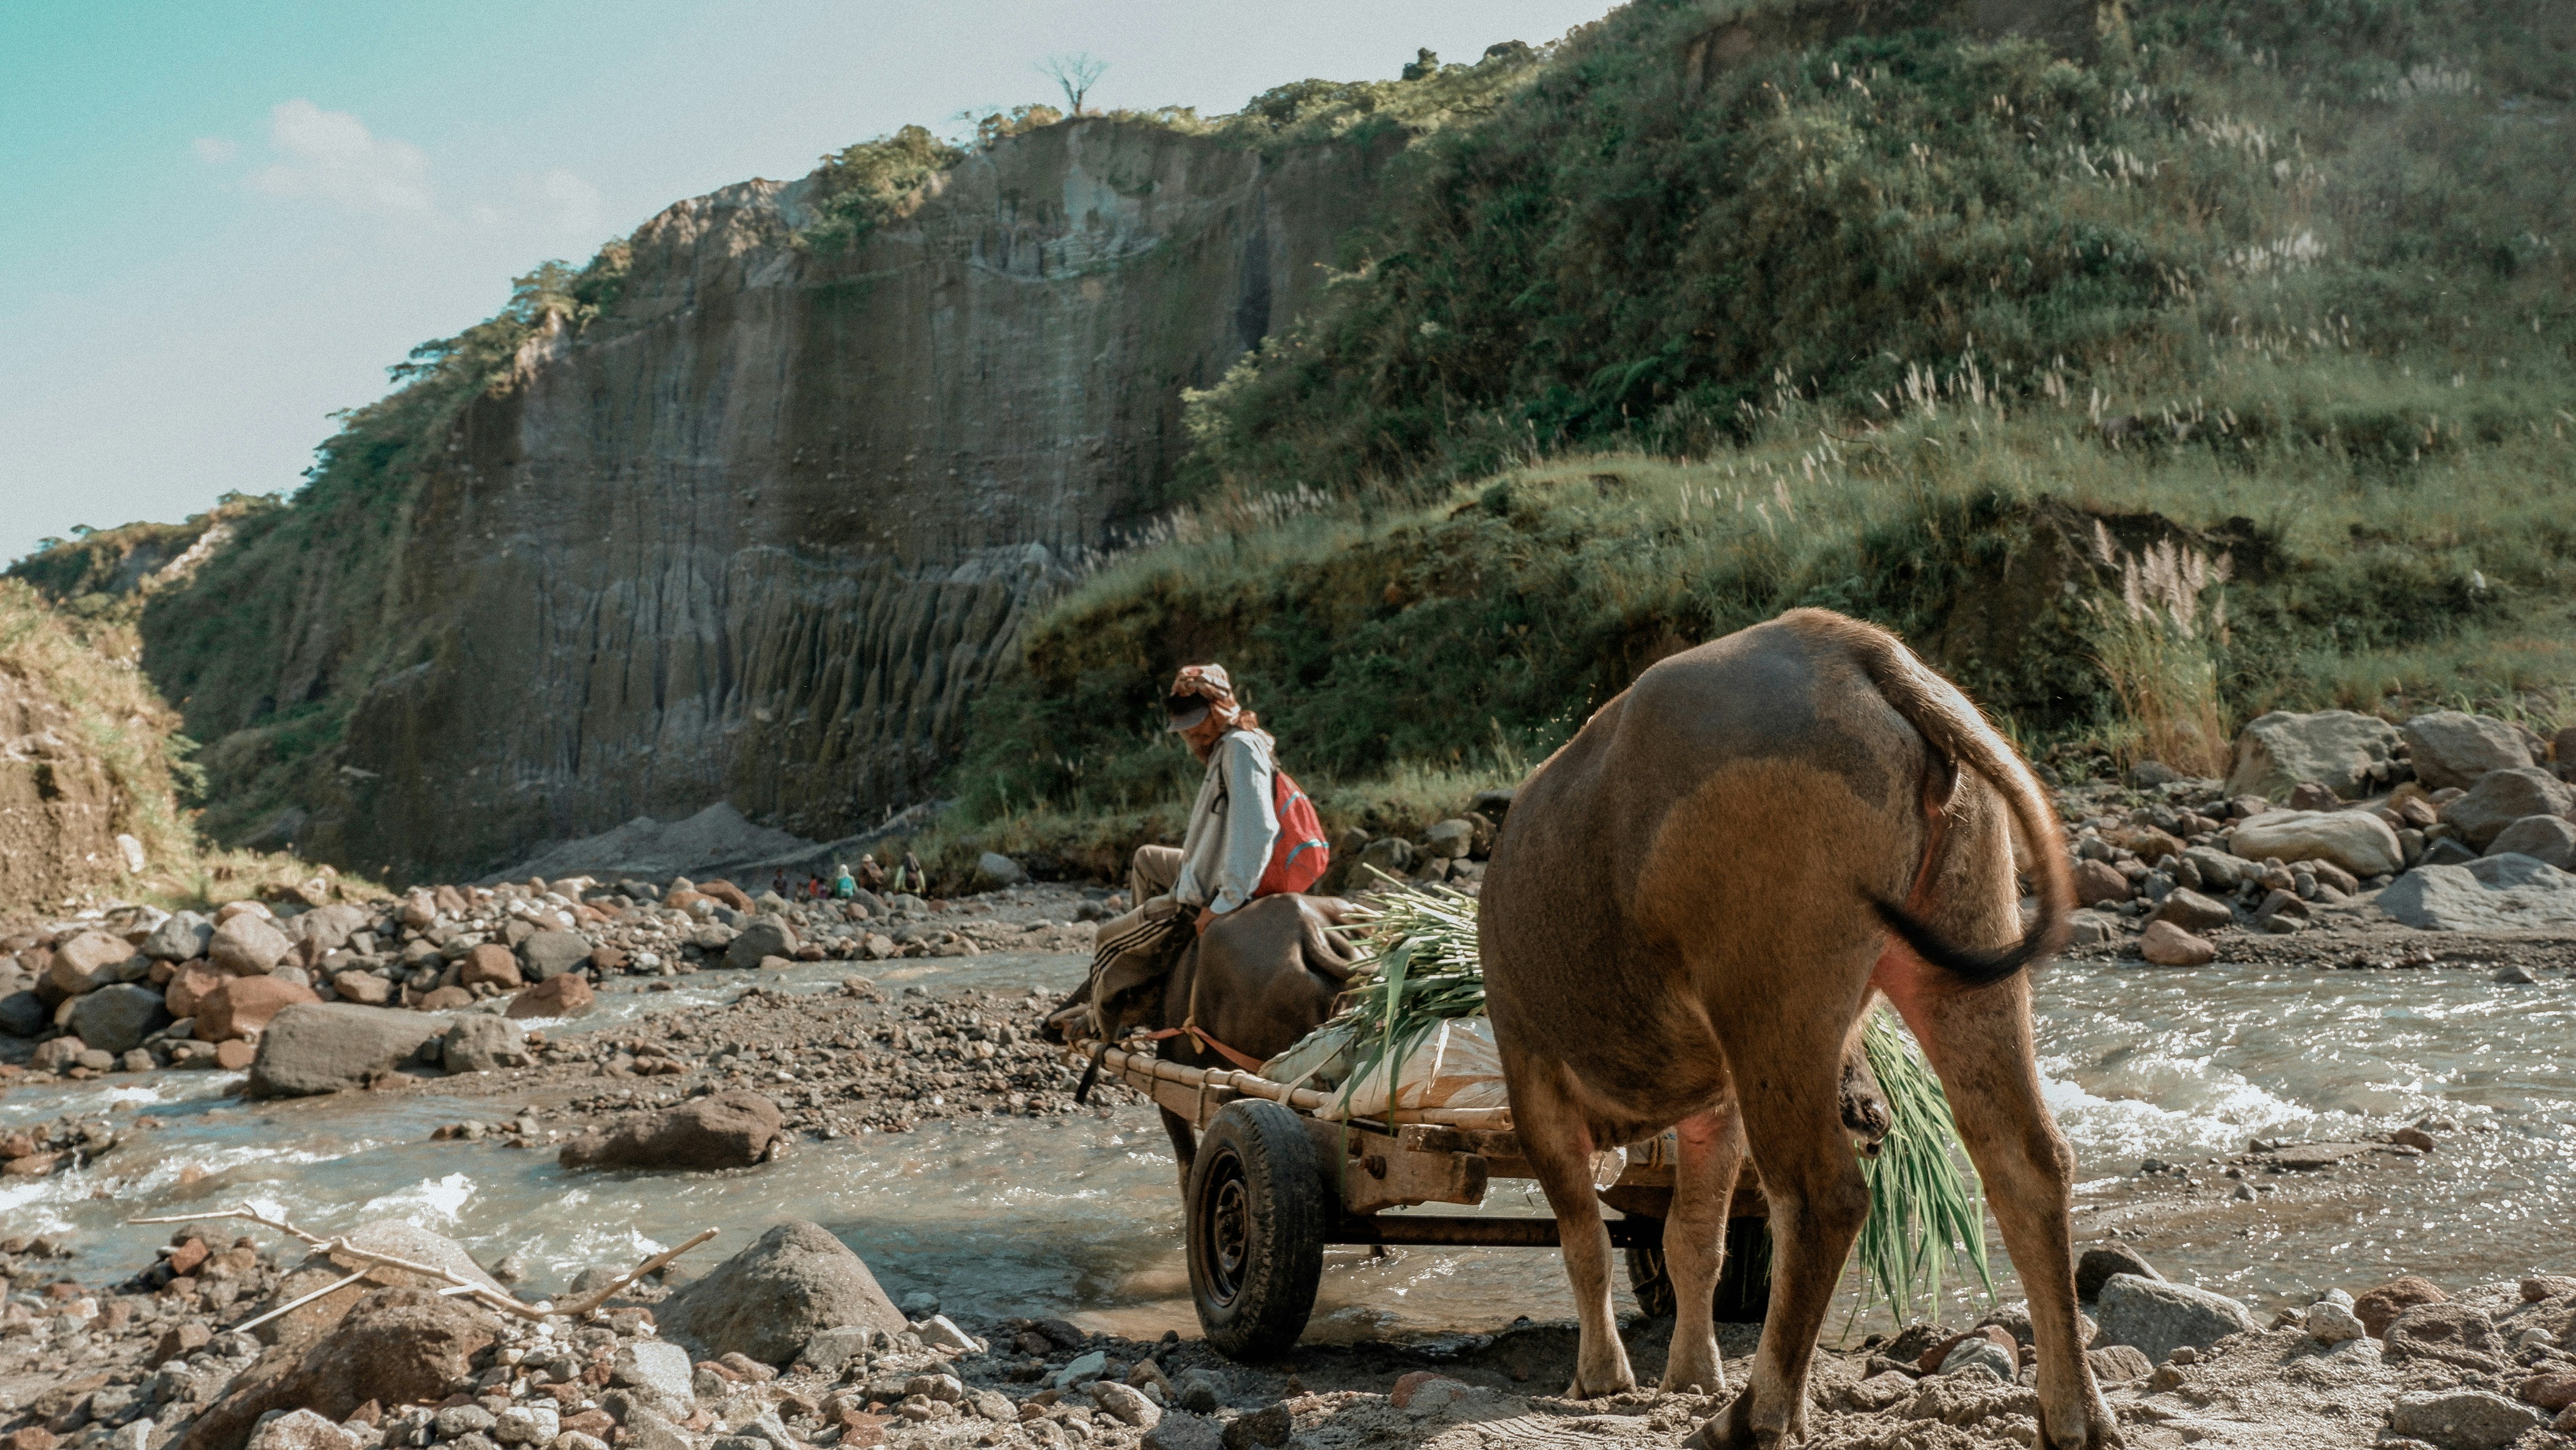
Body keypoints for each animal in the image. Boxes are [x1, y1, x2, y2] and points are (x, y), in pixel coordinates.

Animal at [1480, 608, 2118, 1450]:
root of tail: (1846, 646)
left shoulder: (1533, 1077)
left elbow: (1585, 1236)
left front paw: (1604, 1376)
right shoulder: (1715, 1104)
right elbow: (1694, 1241)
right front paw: (1691, 1373)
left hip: (1771, 1003)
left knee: (1821, 1196)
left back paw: (1752, 1415)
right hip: (1964, 955)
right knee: (2029, 1162)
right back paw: (2075, 1415)